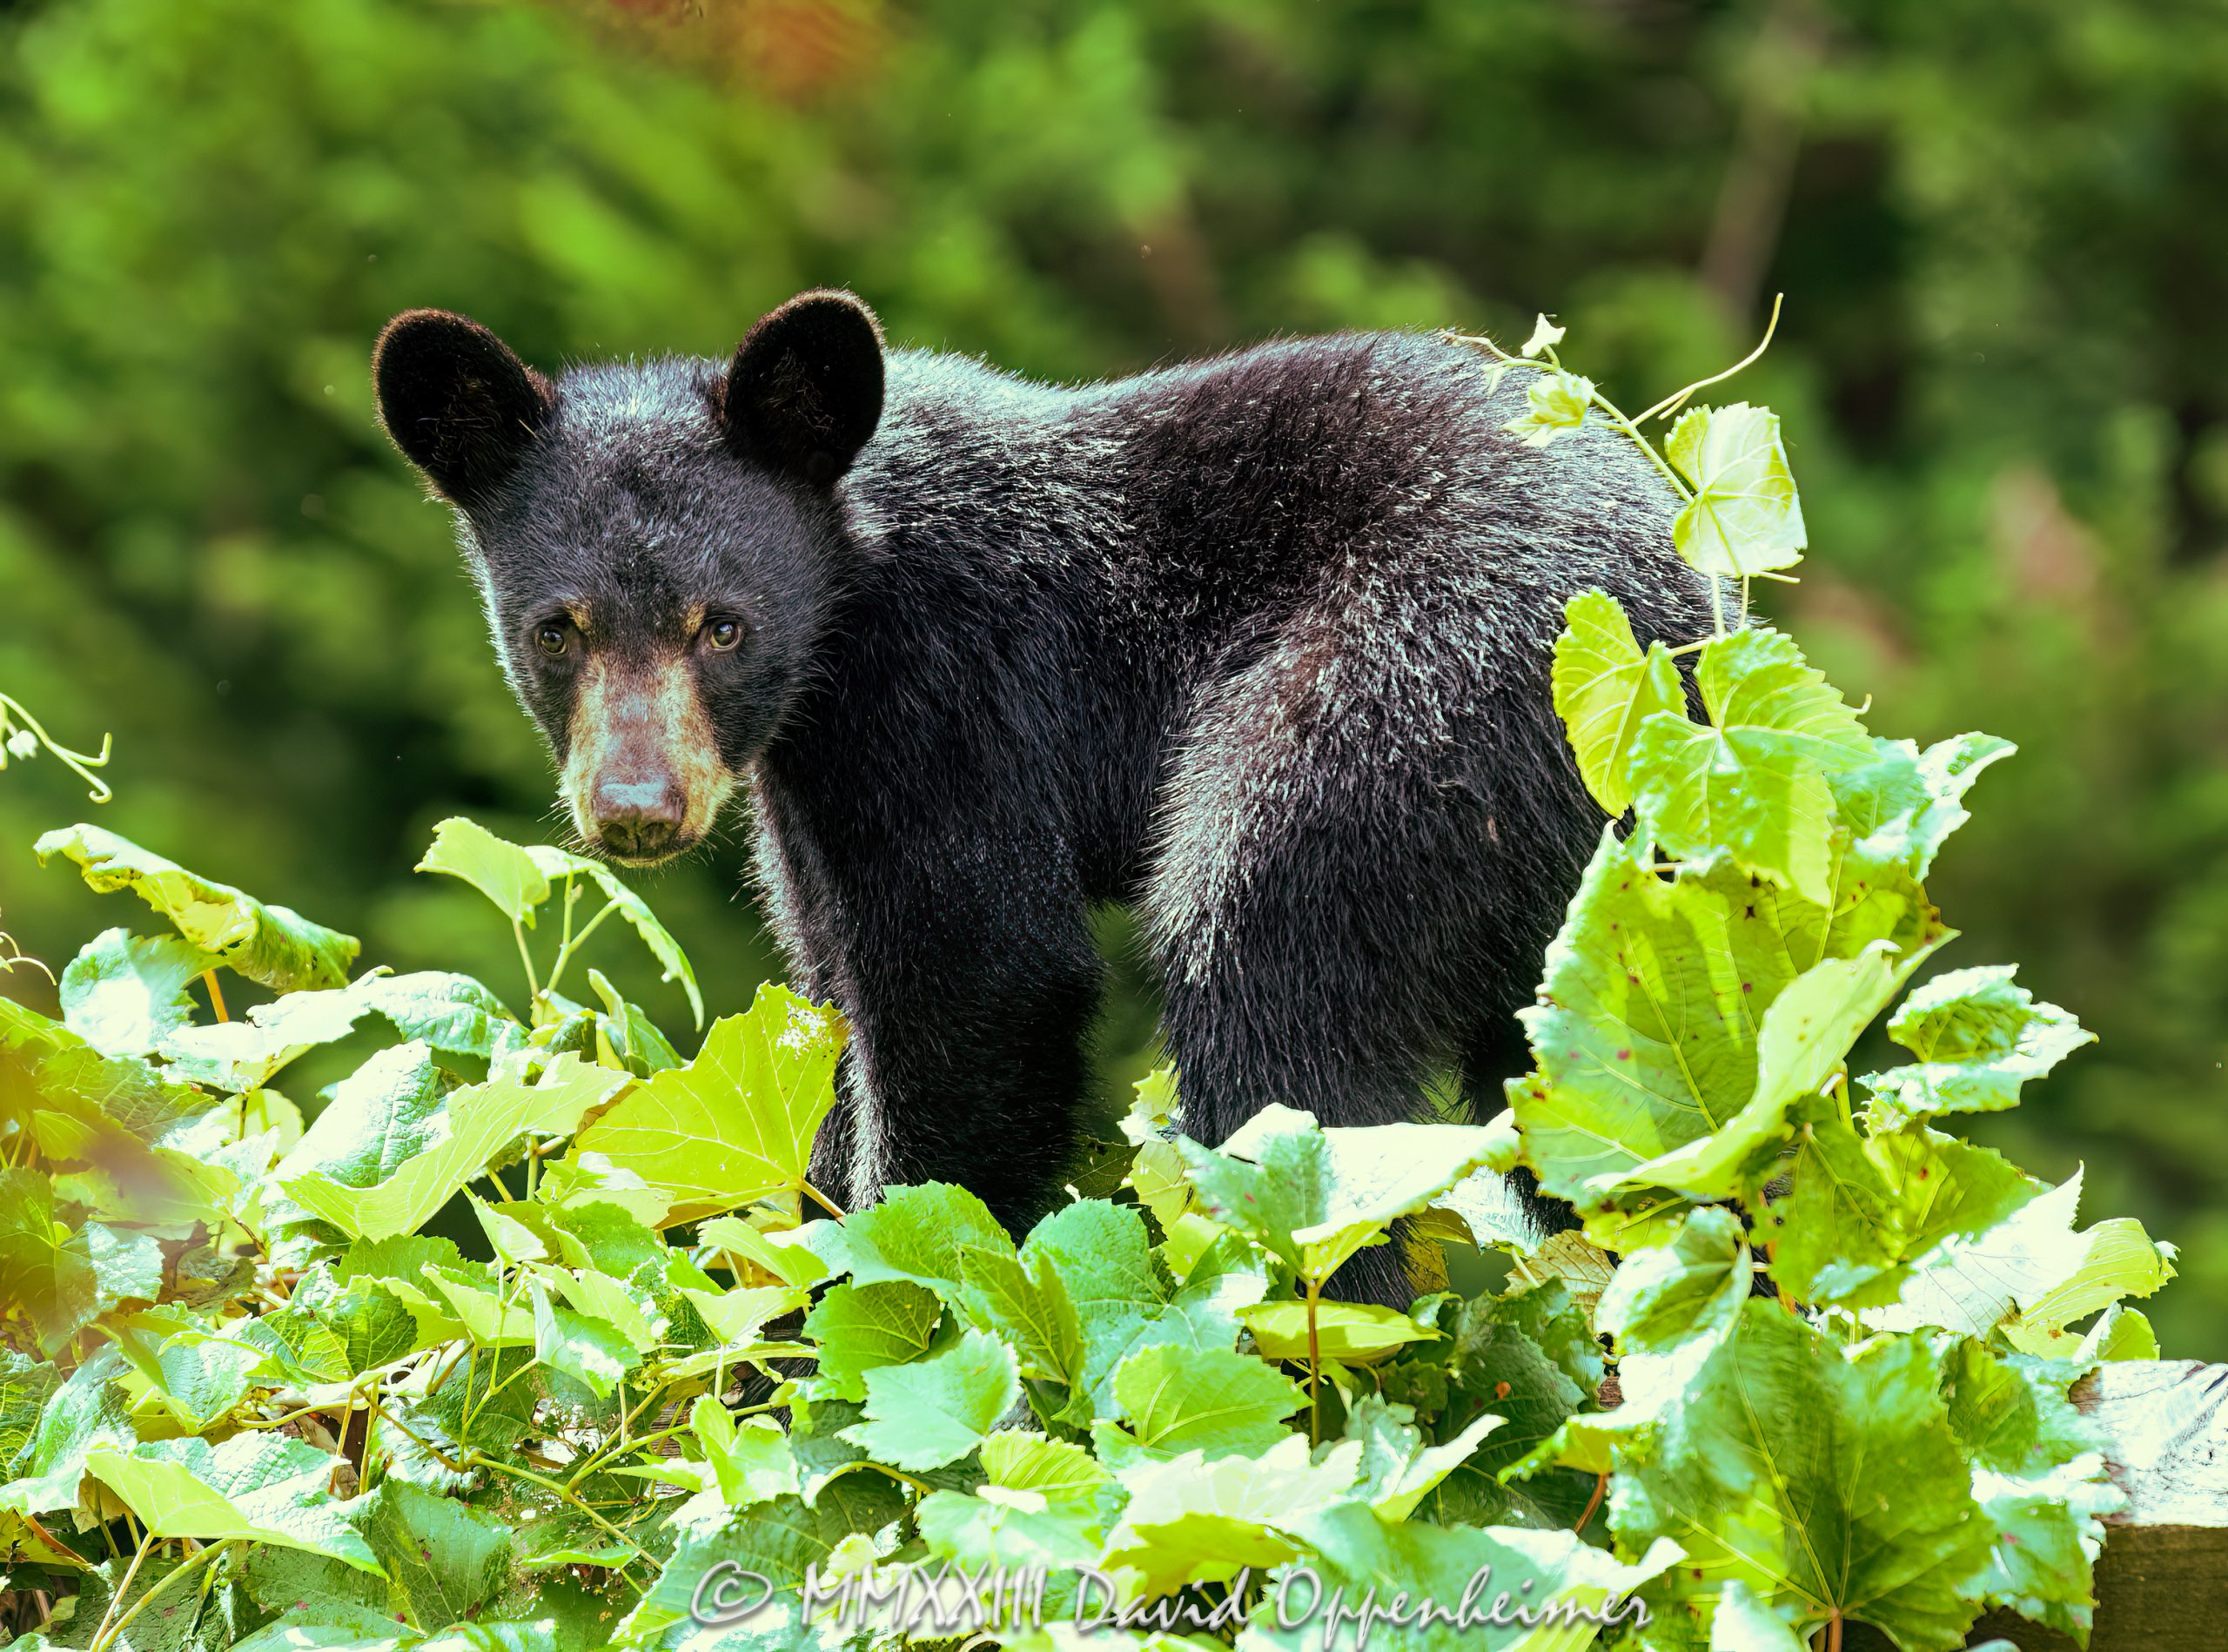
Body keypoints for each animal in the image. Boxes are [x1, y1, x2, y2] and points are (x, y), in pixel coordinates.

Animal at [371, 289, 1715, 1303]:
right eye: (559, 628)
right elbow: (826, 1009)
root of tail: (1682, 621)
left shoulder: (951, 701)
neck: (848, 606)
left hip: (1410, 692)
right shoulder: (807, 801)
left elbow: (980, 974)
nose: (638, 806)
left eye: (723, 623)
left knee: (1270, 983)